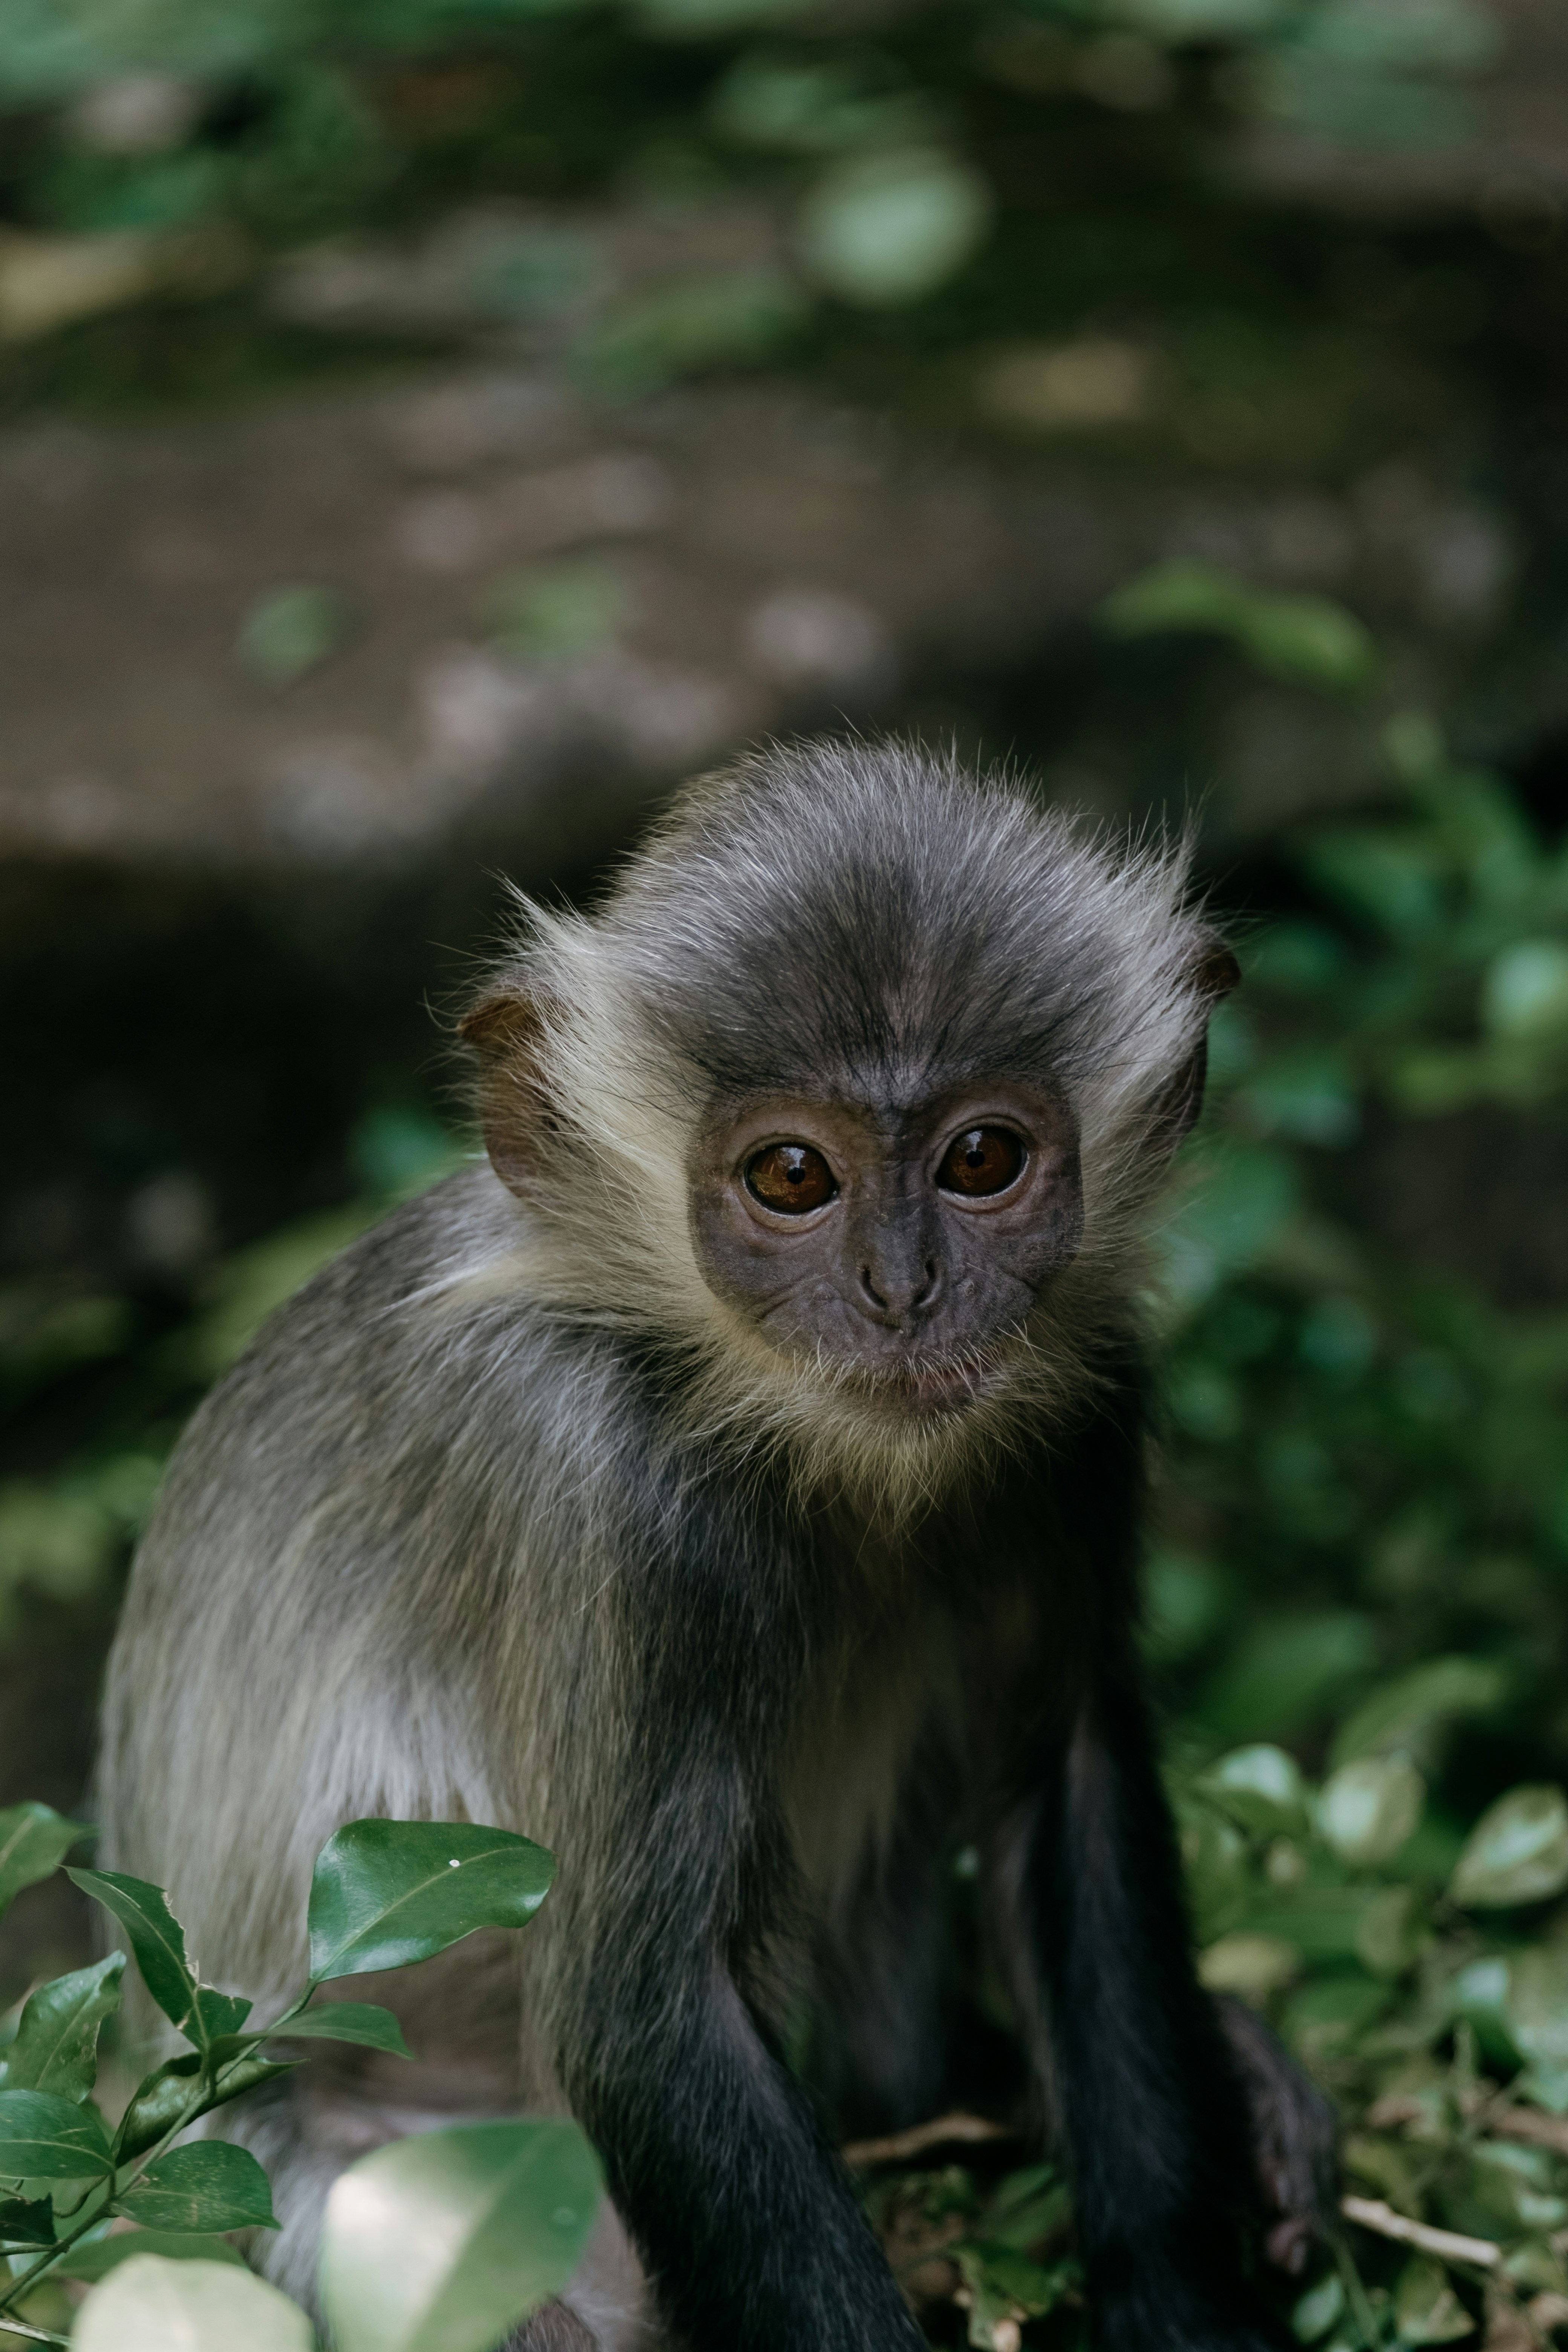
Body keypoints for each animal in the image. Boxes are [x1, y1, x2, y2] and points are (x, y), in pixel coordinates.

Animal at [100, 741, 1336, 2352]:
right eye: (793, 1179)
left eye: (983, 1158)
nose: (902, 1292)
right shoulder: (603, 1489)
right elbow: (643, 2008)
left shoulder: (1084, 1401)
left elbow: (1055, 1789)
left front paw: (1184, 2302)